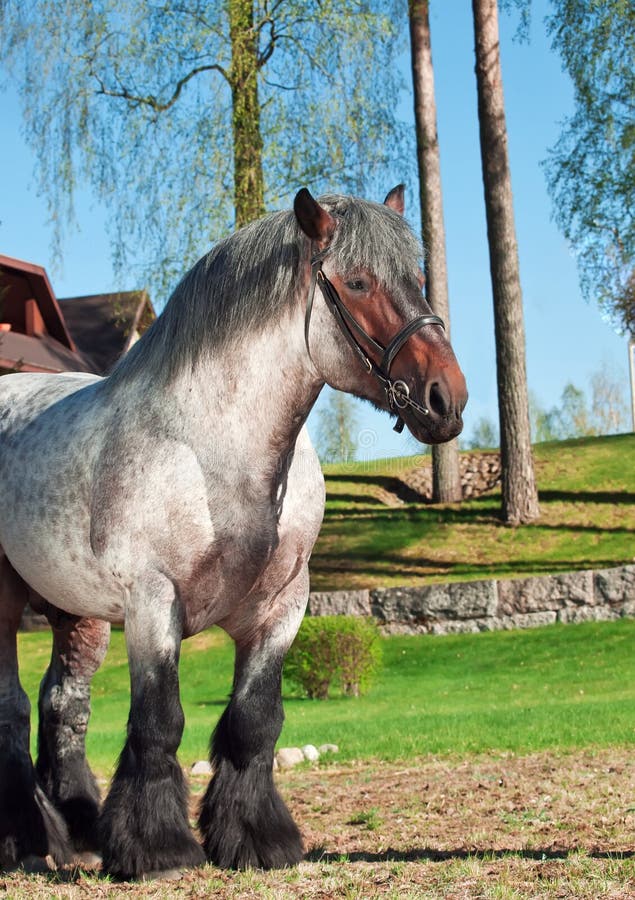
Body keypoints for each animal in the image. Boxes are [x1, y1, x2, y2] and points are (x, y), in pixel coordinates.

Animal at [0, 186, 467, 878]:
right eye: (358, 281)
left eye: (416, 279)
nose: (446, 399)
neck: (214, 453)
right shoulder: (154, 603)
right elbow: (159, 722)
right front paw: (160, 848)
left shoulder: (281, 608)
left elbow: (255, 720)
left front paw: (254, 838)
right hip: (8, 605)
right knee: (12, 709)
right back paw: (24, 840)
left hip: (76, 615)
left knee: (65, 706)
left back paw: (80, 831)